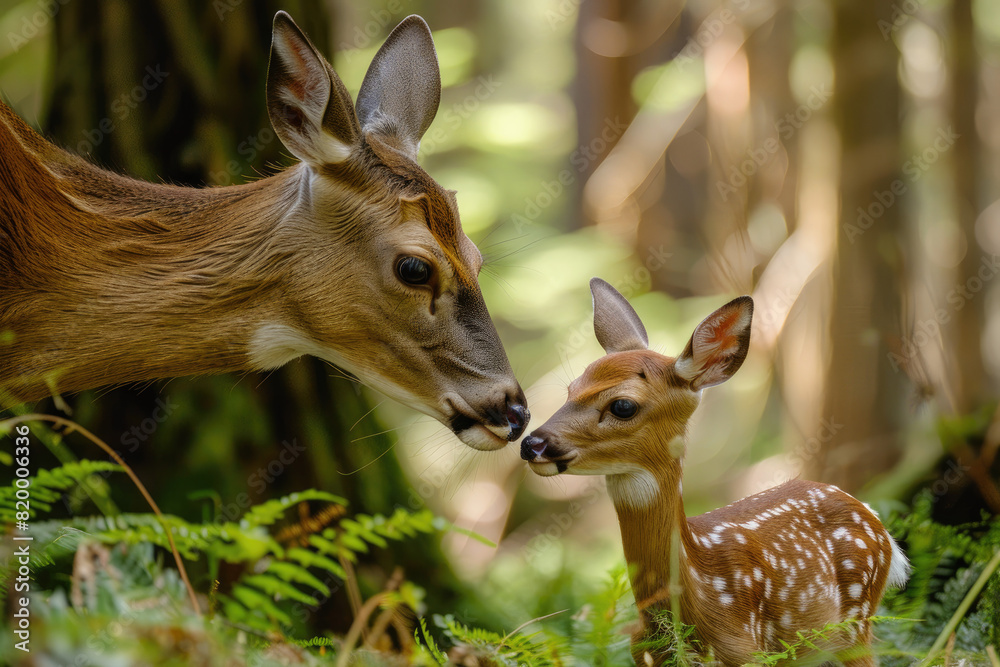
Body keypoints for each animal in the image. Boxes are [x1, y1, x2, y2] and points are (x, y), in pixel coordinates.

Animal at [521, 278, 910, 666]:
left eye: (623, 406)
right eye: (571, 390)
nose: (532, 444)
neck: (702, 595)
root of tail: (879, 524)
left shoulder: (749, 654)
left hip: (856, 620)